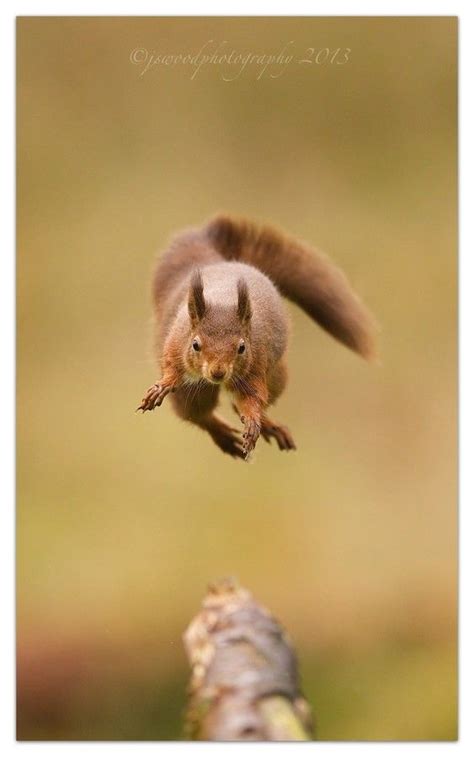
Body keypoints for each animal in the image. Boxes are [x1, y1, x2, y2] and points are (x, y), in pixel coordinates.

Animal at [137, 215, 377, 460]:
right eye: (195, 344)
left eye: (242, 348)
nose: (218, 372)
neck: (223, 300)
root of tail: (217, 261)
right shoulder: (175, 343)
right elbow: (171, 367)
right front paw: (163, 385)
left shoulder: (256, 366)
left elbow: (252, 399)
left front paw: (253, 422)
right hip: (193, 390)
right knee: (198, 414)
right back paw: (226, 436)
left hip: (276, 377)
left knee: (239, 406)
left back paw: (268, 427)